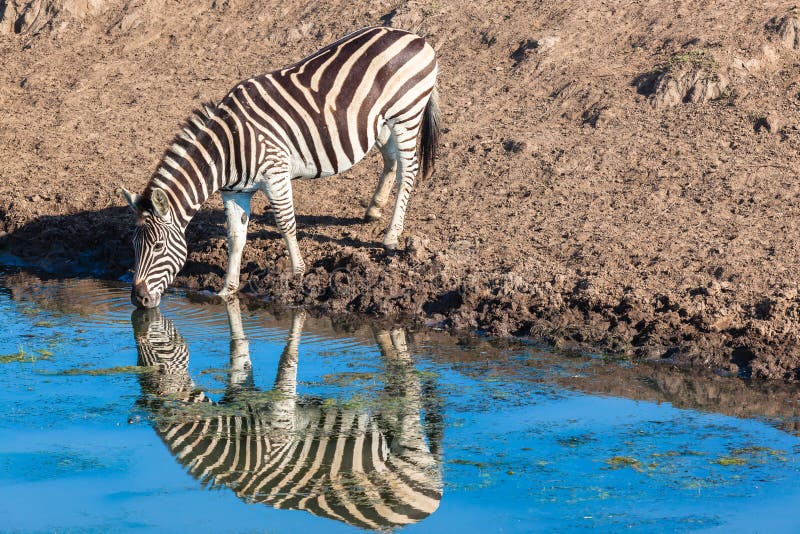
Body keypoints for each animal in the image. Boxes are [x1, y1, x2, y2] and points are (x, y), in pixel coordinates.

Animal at [120, 26, 441, 308]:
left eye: (158, 247)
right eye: (133, 245)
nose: (138, 299)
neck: (226, 149)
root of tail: (415, 37)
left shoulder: (275, 174)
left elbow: (286, 223)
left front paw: (298, 271)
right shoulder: (234, 192)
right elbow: (235, 237)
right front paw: (227, 290)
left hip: (406, 114)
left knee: (408, 170)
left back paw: (391, 236)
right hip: (380, 121)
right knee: (391, 159)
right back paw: (374, 209)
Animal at [131, 298, 443, 529]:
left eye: (156, 353)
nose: (144, 309)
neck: (234, 443)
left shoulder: (279, 422)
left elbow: (285, 362)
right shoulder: (242, 393)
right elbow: (240, 353)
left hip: (410, 447)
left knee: (412, 391)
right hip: (391, 430)